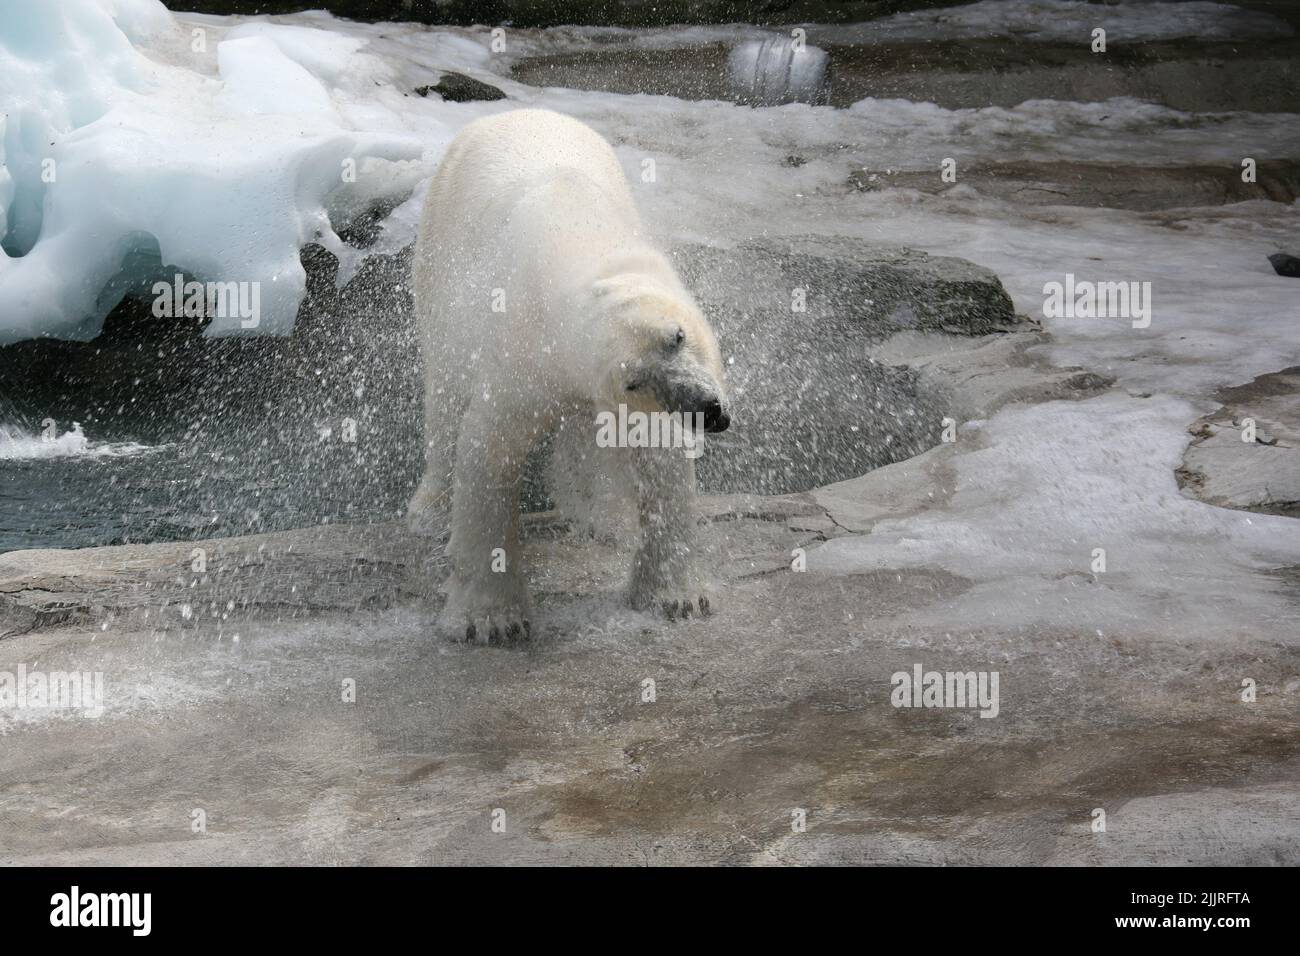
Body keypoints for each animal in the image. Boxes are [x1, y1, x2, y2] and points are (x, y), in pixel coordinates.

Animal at [407, 109, 731, 643]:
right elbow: (489, 448)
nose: (708, 411)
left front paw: (678, 596)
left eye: (678, 337)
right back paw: (430, 508)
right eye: (634, 380)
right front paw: (491, 619)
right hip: (437, 250)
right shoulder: (523, 354)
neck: (575, 244)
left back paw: (605, 516)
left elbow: (657, 453)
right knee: (445, 393)